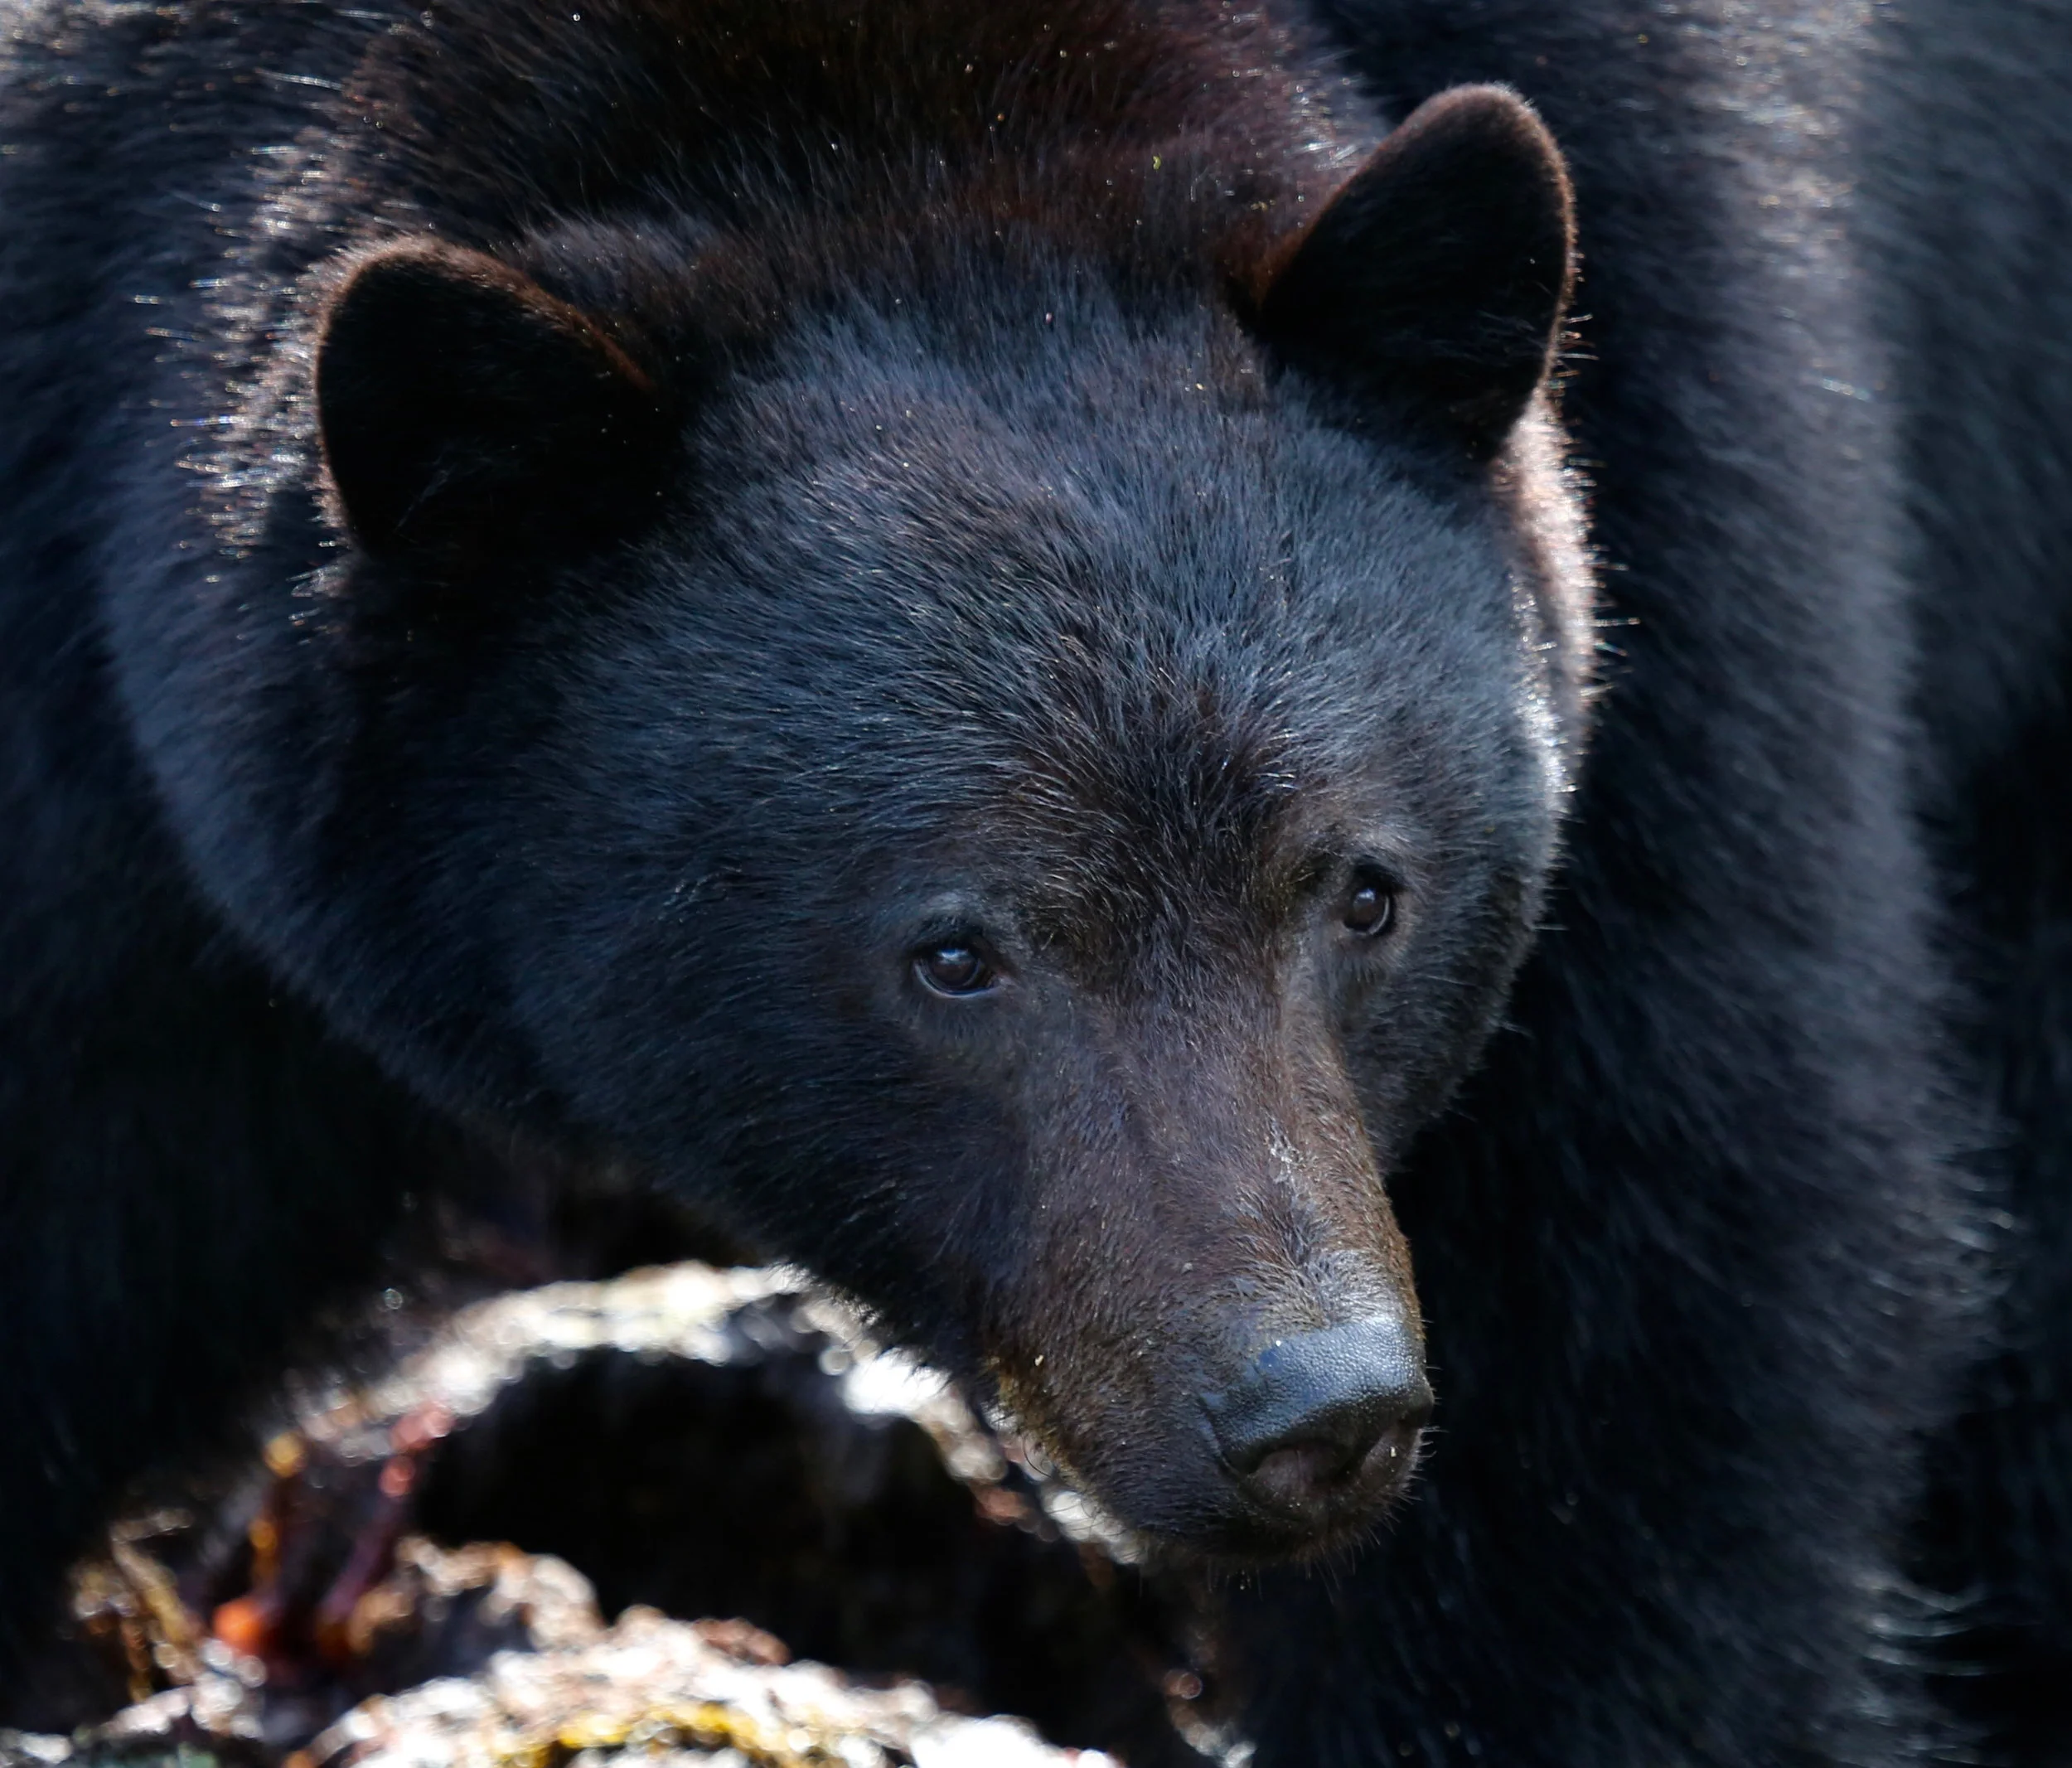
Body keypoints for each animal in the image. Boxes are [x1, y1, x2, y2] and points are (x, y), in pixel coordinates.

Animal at [0, 1, 1960, 1763]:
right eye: (953, 954)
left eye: (1365, 893)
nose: (1311, 1407)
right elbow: (75, 1171)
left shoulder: (1699, 400)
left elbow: (1641, 1309)